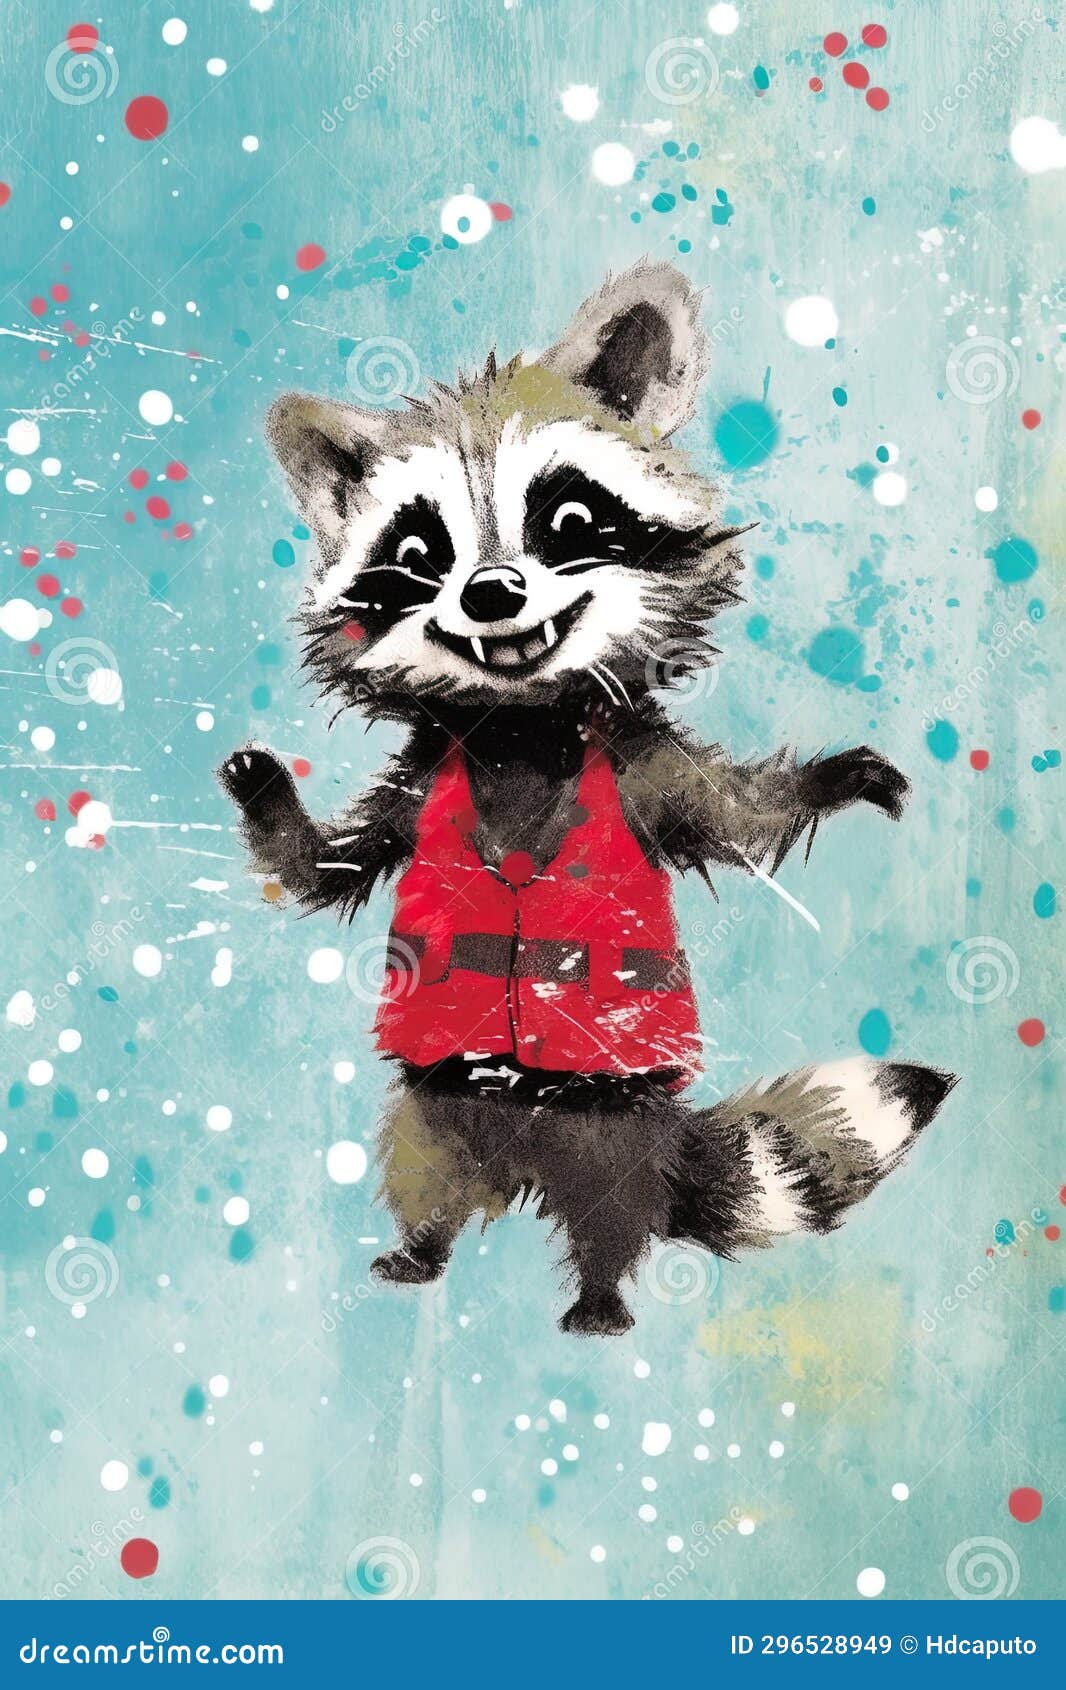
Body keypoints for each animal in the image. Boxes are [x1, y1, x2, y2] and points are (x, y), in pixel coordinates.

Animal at [220, 262, 955, 1336]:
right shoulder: (418, 784)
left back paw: (601, 1294)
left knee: (613, 1211)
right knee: (421, 1165)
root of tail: (523, 1163)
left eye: (567, 520)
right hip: (439, 1111)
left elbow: (743, 815)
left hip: (611, 1132)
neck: (521, 727)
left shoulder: (645, 772)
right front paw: (267, 793)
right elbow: (326, 867)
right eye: (420, 551)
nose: (490, 594)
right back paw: (421, 1247)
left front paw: (835, 778)